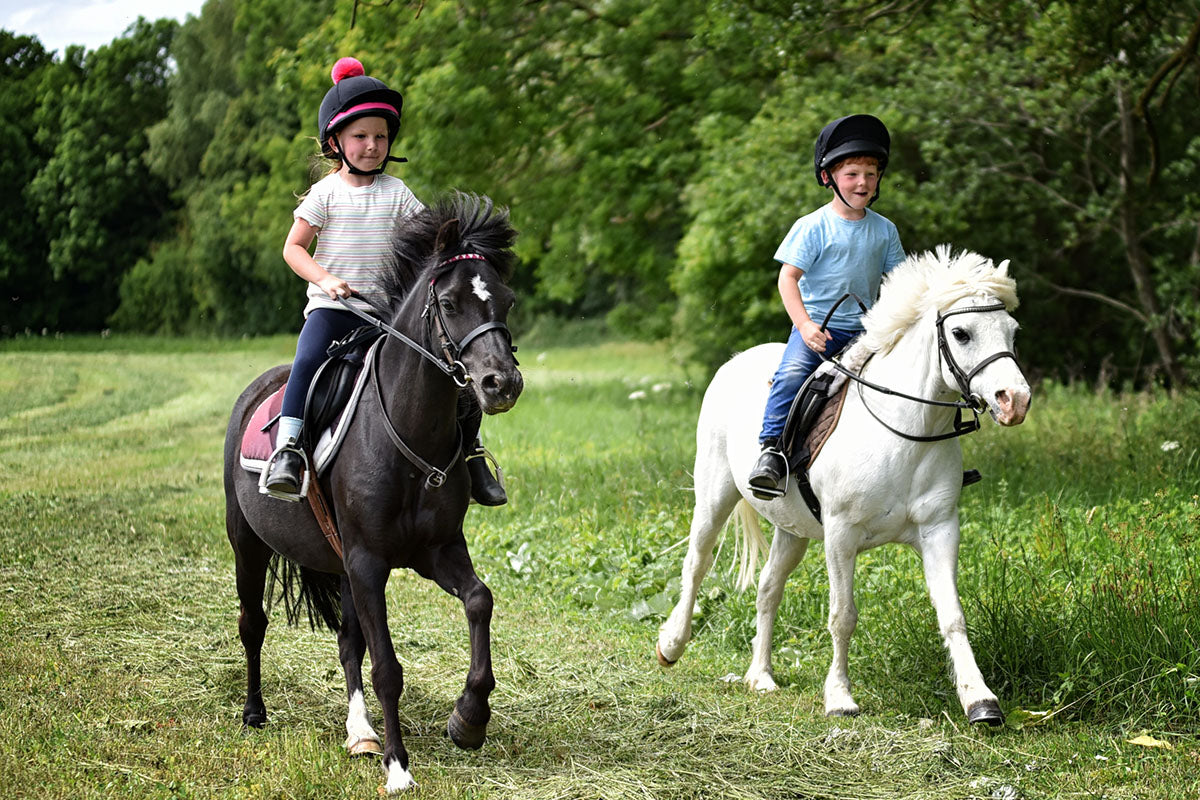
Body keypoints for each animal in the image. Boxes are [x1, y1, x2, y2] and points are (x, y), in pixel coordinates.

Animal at [223, 194, 521, 793]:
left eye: (504, 299)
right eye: (449, 302)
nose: (502, 383)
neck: (406, 431)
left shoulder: (435, 551)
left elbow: (479, 600)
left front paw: (469, 719)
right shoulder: (367, 562)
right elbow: (387, 666)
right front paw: (399, 767)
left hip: (338, 564)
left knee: (345, 640)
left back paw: (360, 733)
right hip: (249, 544)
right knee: (253, 624)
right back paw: (254, 712)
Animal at [655, 246, 1031, 725]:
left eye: (1012, 332)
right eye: (961, 333)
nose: (1015, 401)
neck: (905, 431)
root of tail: (735, 361)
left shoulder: (939, 529)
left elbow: (952, 614)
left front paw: (980, 700)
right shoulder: (841, 534)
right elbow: (842, 615)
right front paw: (838, 697)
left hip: (792, 528)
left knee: (768, 587)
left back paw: (760, 676)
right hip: (714, 495)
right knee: (696, 564)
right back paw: (671, 645)